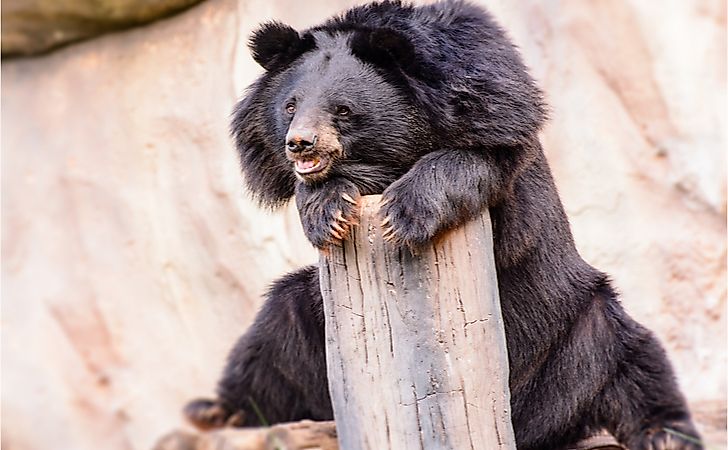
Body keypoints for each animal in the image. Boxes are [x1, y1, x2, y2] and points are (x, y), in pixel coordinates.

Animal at [184, 1, 703, 449]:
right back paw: (211, 411)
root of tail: (522, 423)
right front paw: (328, 210)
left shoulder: (492, 104)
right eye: (290, 106)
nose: (300, 145)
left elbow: (475, 163)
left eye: (344, 110)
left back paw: (664, 434)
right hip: (307, 322)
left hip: (581, 328)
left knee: (634, 364)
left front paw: (402, 213)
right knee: (268, 345)